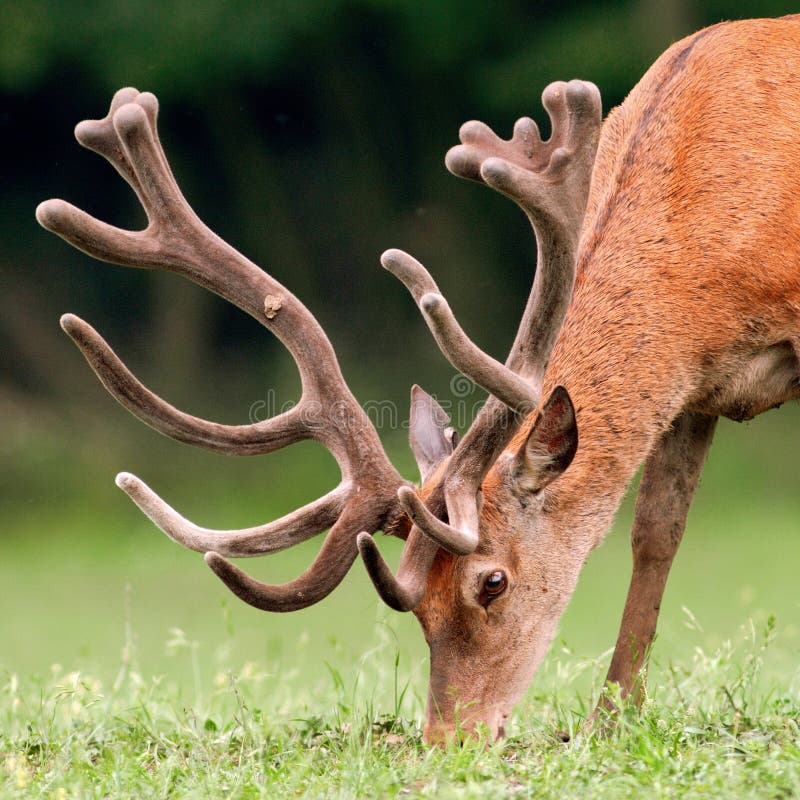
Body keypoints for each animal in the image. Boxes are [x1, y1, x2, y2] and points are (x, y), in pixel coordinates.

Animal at [36, 14, 800, 744]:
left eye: (492, 583)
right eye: (418, 607)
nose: (448, 738)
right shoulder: (695, 387)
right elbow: (655, 533)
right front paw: (609, 721)